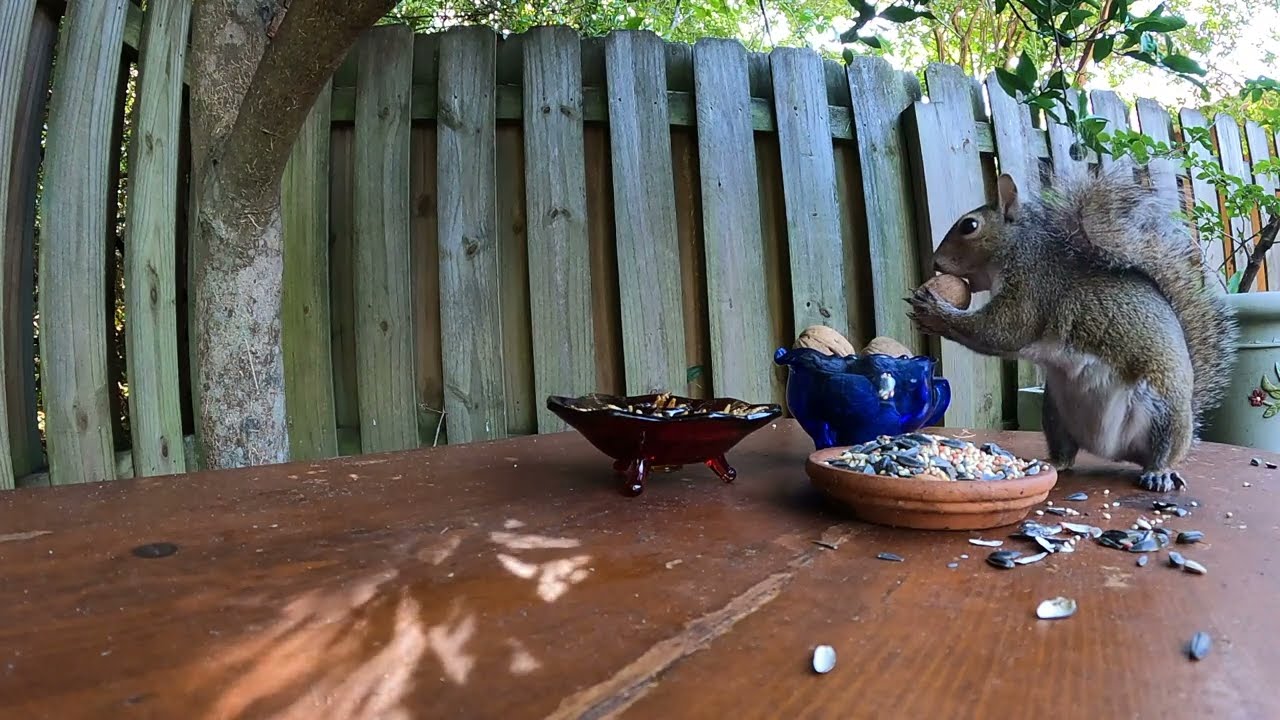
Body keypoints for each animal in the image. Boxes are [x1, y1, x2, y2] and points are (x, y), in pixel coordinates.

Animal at [906, 167, 1238, 492]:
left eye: (970, 226)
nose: (935, 263)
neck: (1020, 250)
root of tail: (1113, 452)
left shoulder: (1033, 290)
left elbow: (1002, 330)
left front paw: (934, 312)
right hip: (1055, 413)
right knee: (1066, 452)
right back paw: (1052, 463)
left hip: (1165, 414)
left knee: (1162, 453)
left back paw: (1158, 473)